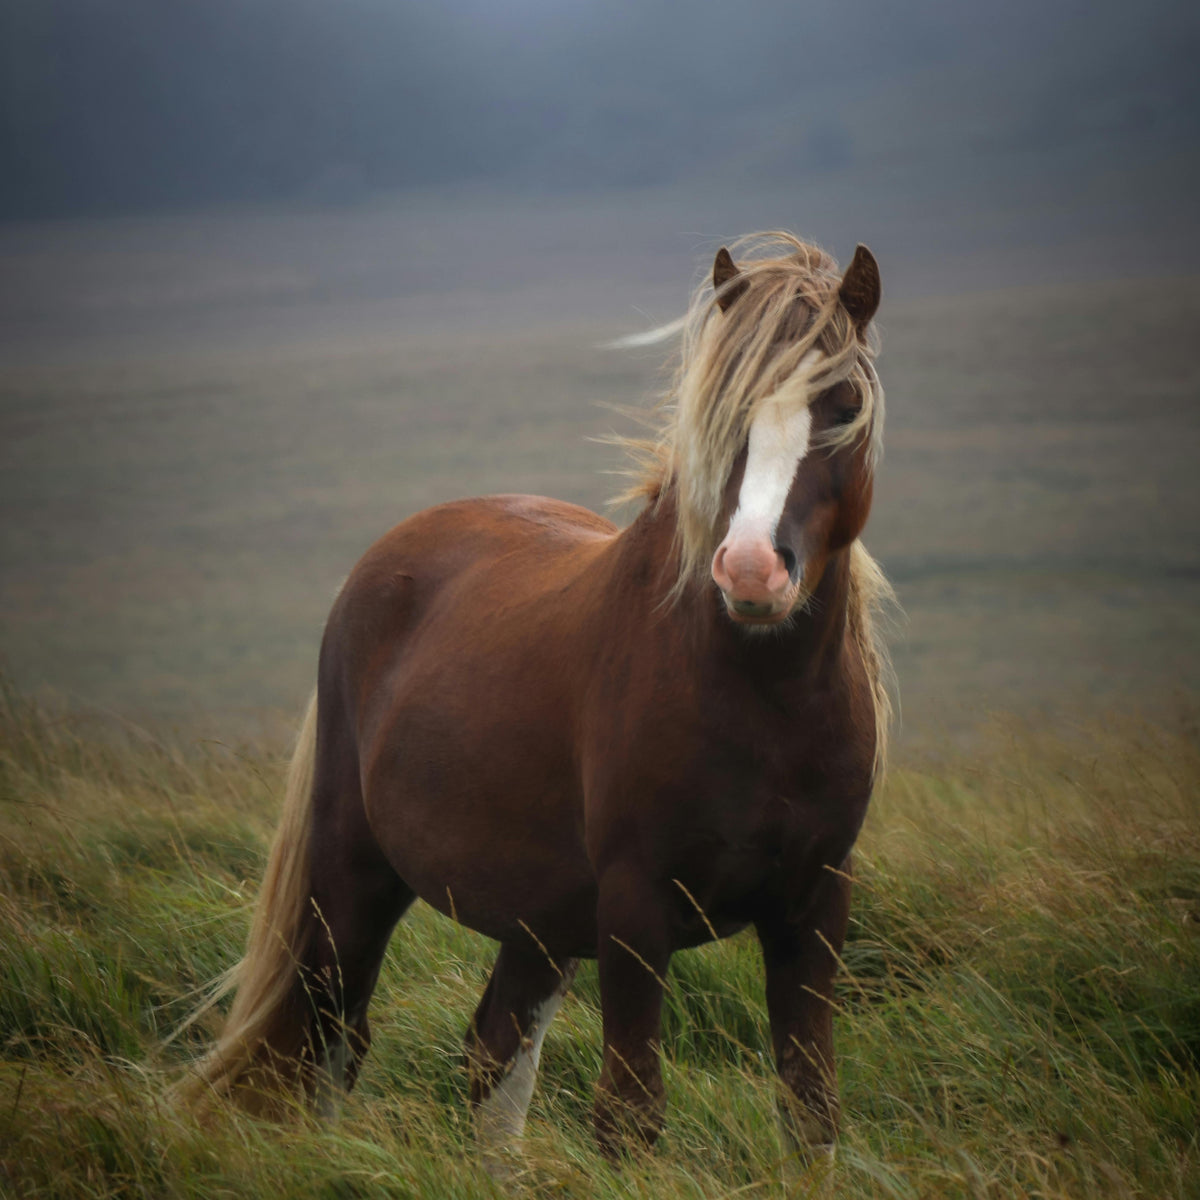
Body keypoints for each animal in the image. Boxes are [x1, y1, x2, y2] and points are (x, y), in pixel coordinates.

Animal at [186, 231, 894, 1175]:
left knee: (493, 1055)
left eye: (842, 402)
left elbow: (810, 1108)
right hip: (353, 877)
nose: (750, 571)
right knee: (334, 1035)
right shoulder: (635, 908)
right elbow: (630, 1113)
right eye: (721, 411)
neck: (761, 706)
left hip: (540, 918)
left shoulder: (814, 903)